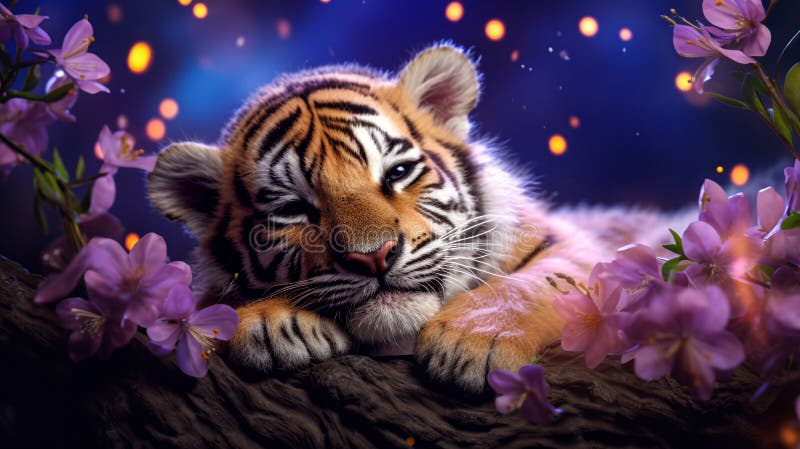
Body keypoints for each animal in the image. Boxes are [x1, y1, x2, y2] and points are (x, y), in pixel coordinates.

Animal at [147, 43, 673, 392]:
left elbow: (536, 282)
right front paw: (270, 324)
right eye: (293, 208)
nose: (374, 257)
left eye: (397, 173)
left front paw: (476, 339)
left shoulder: (581, 244)